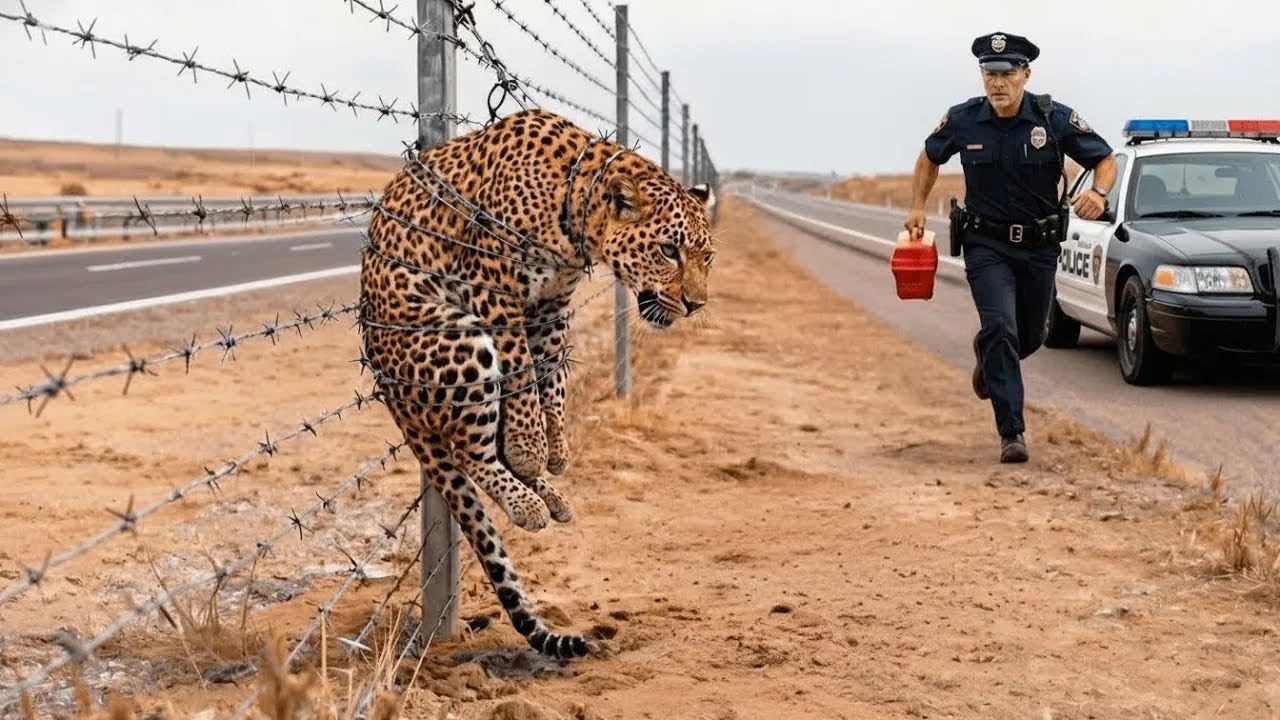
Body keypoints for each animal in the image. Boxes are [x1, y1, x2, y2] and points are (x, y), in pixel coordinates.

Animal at [358, 107, 716, 659]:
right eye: (668, 251)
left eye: (707, 258)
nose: (696, 305)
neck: (576, 209)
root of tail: (380, 372)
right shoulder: (495, 288)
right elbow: (523, 374)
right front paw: (533, 450)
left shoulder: (550, 305)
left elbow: (552, 376)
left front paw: (556, 450)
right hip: (458, 338)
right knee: (470, 451)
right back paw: (528, 503)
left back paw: (553, 496)